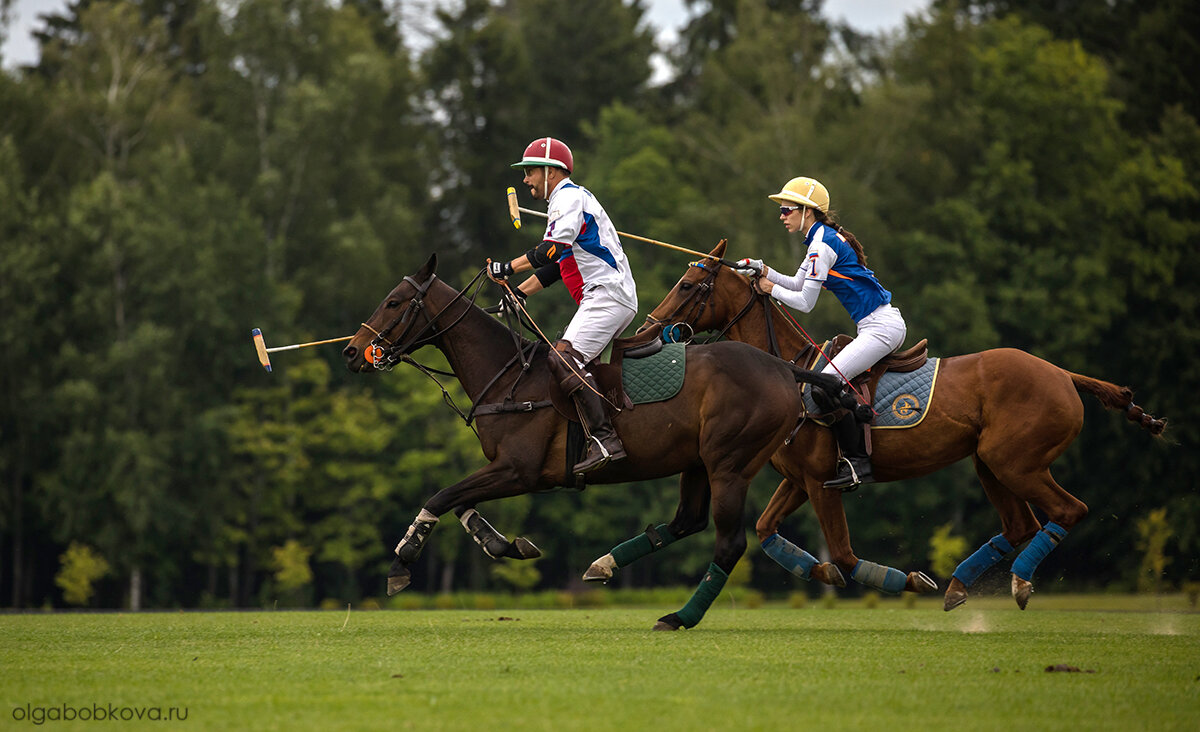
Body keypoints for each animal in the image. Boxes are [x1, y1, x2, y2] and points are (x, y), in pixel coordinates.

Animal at [343, 255, 840, 628]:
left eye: (393, 302)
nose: (351, 352)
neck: (510, 376)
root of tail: (785, 369)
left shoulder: (519, 470)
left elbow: (441, 495)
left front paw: (401, 563)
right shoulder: (505, 469)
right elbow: (459, 501)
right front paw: (505, 545)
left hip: (730, 463)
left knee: (729, 542)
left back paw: (679, 617)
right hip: (700, 462)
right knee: (687, 521)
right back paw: (606, 565)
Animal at [643, 242, 1166, 607]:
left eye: (687, 285)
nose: (648, 330)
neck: (791, 368)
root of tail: (1063, 374)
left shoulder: (822, 481)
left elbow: (845, 554)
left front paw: (906, 579)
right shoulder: (800, 479)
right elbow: (767, 529)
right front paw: (823, 574)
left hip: (1017, 462)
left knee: (1069, 510)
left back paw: (1017, 581)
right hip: (991, 463)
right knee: (1022, 524)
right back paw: (959, 586)